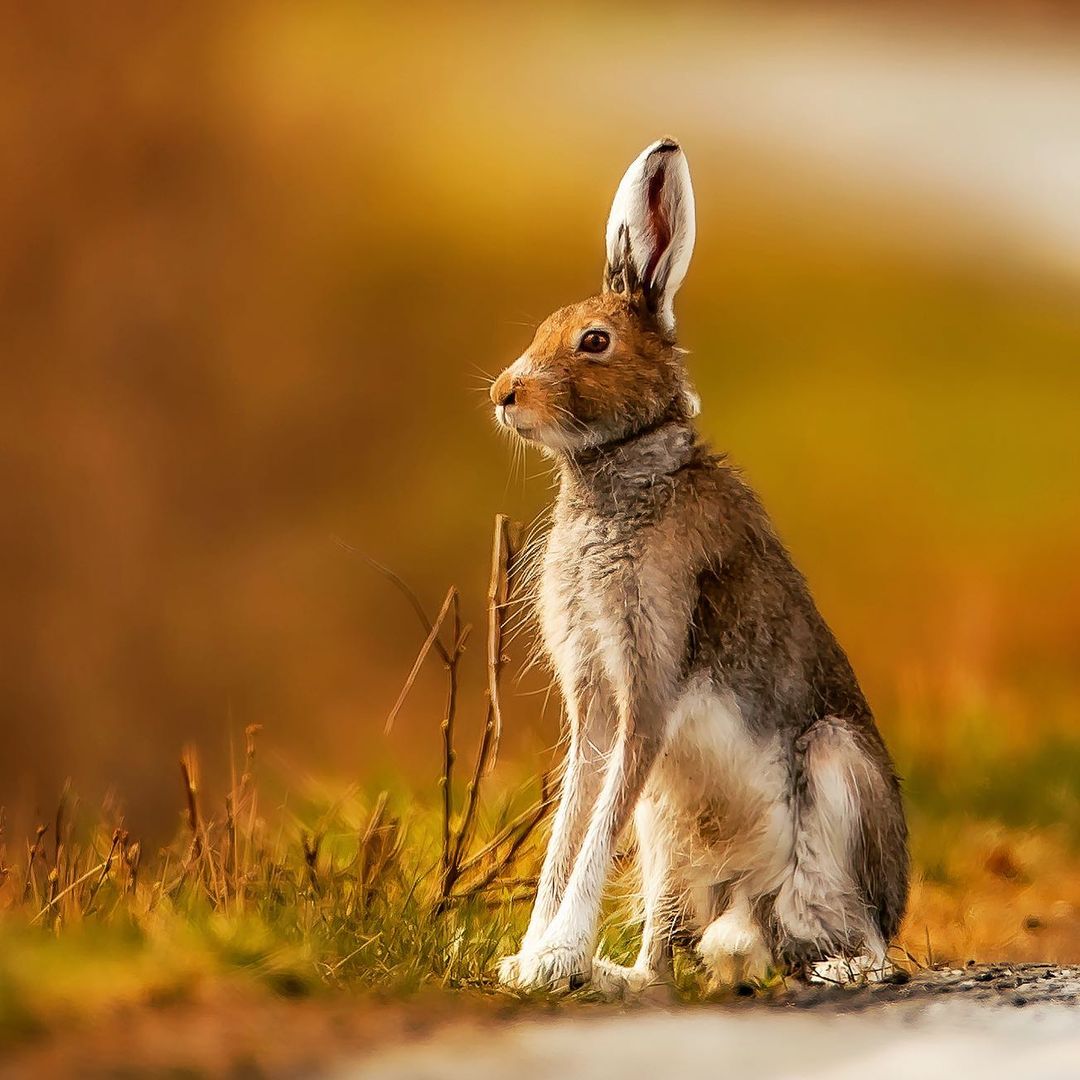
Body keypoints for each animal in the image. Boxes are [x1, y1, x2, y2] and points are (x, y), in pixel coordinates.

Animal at [489, 138, 908, 996]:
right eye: (545, 327)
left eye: (593, 342)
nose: (505, 393)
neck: (622, 469)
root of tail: (758, 914)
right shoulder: (595, 702)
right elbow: (568, 831)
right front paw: (530, 960)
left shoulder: (646, 682)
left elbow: (588, 836)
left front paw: (551, 956)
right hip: (667, 833)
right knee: (663, 957)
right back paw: (617, 976)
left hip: (834, 770)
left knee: (867, 939)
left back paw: (840, 968)